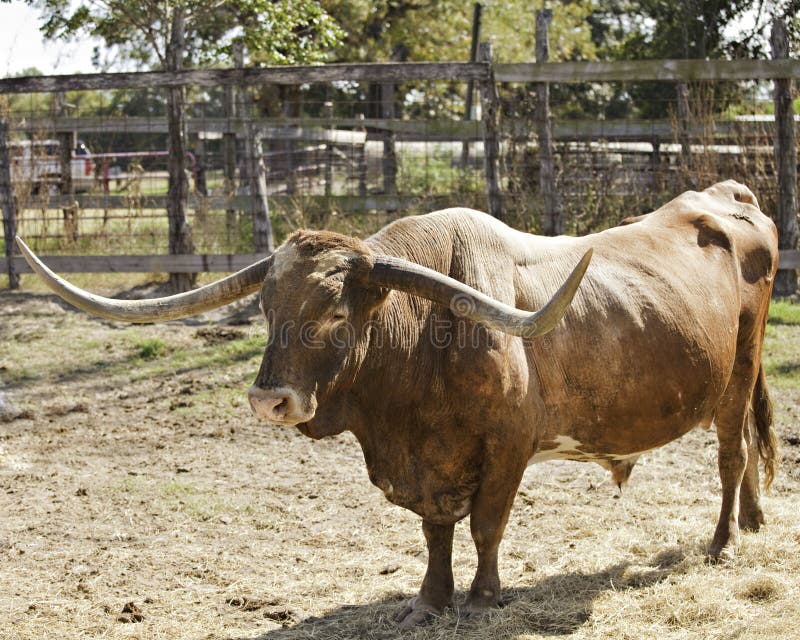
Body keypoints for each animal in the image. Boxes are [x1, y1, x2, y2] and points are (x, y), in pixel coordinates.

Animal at [16, 180, 780, 628]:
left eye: (334, 314)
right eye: (265, 308)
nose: (269, 400)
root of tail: (729, 194)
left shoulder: (507, 450)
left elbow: (486, 528)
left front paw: (483, 597)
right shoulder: (428, 467)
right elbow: (436, 533)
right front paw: (429, 600)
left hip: (739, 366)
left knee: (730, 451)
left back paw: (721, 542)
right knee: (743, 450)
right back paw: (752, 521)